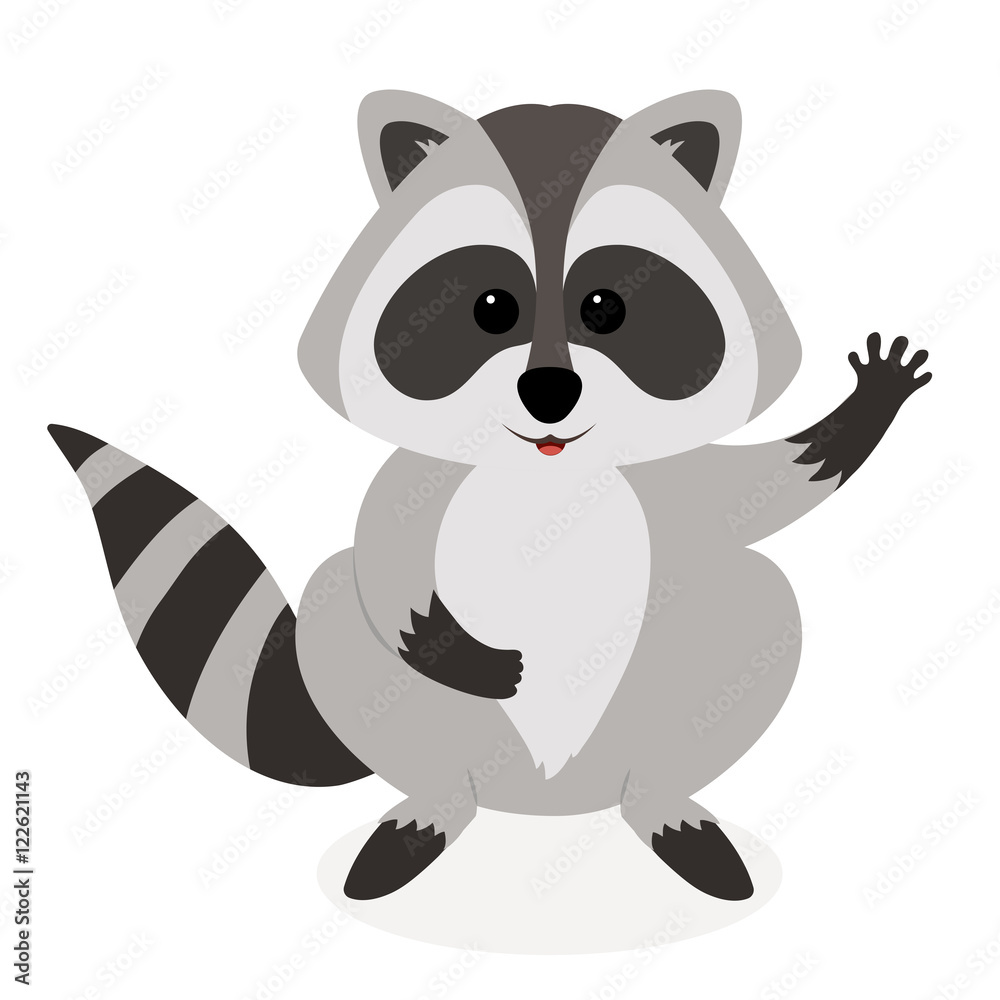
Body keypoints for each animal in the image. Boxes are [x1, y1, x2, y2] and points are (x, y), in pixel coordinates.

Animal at [51, 89, 931, 903]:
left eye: (607, 307)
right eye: (490, 308)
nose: (550, 392)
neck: (547, 474)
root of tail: (547, 803)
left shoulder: (669, 487)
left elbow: (772, 487)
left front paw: (863, 412)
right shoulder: (419, 484)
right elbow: (384, 563)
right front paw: (451, 646)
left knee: (758, 603)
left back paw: (666, 808)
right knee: (342, 607)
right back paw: (428, 813)